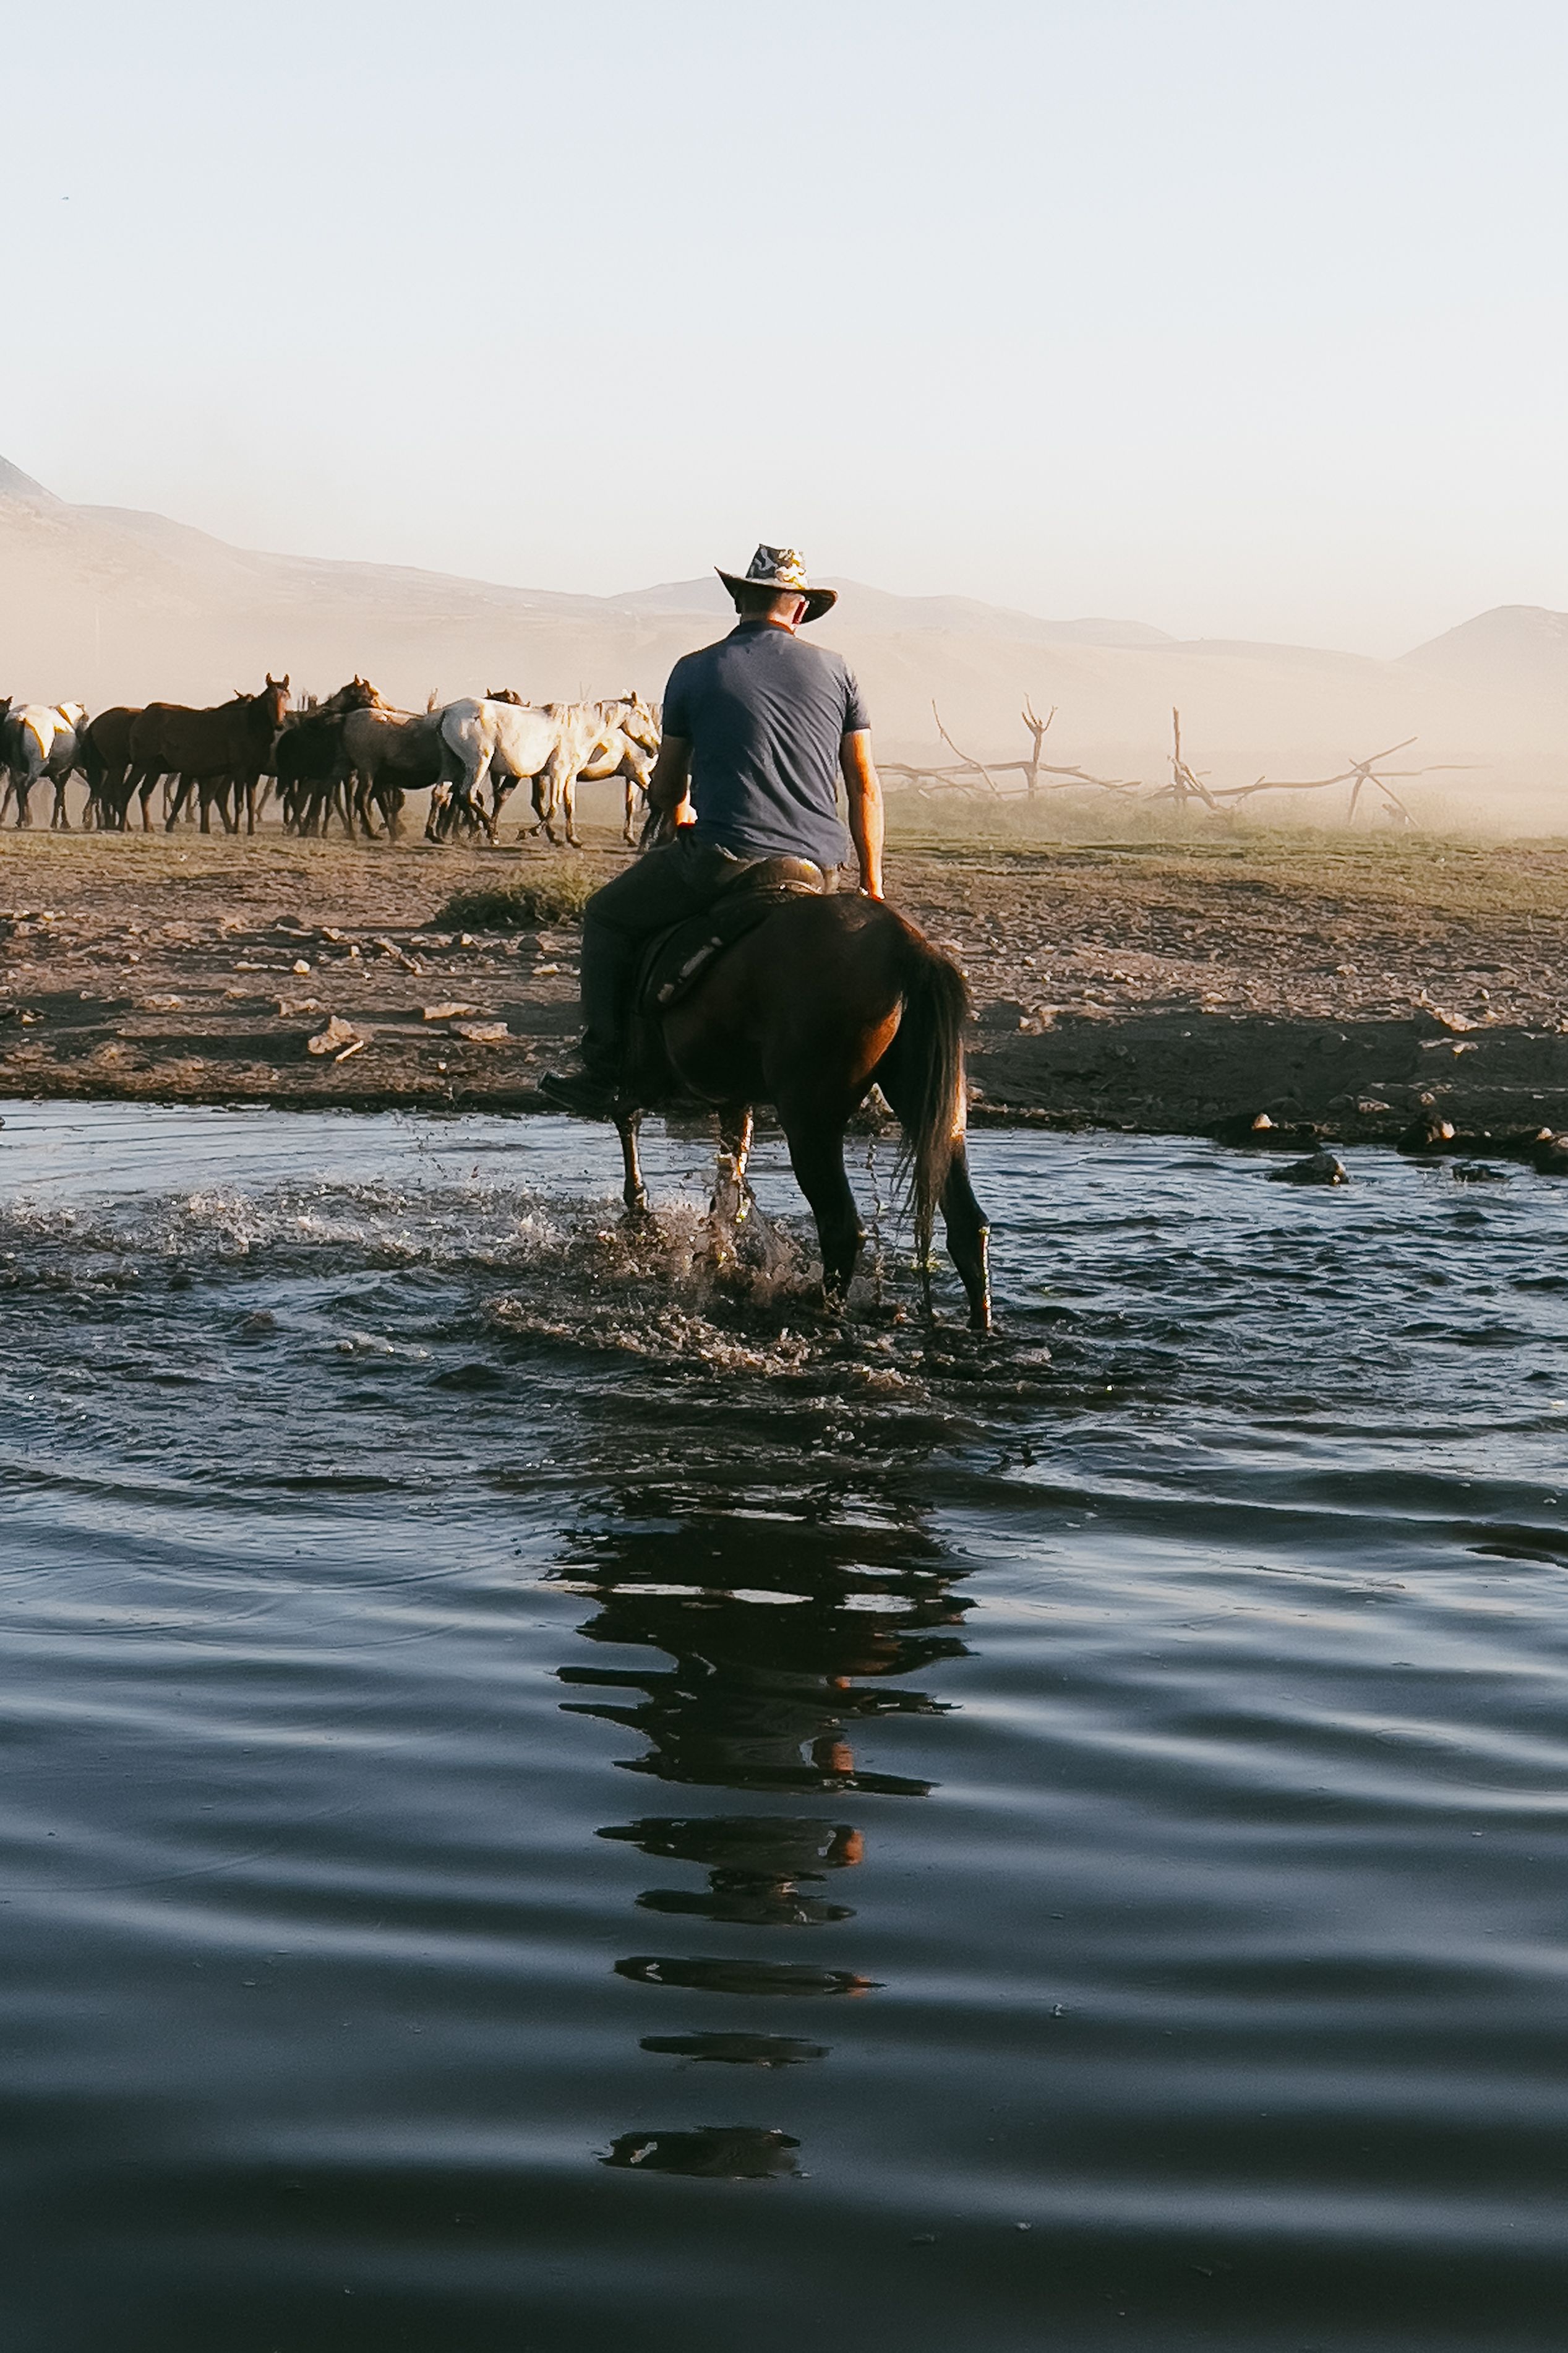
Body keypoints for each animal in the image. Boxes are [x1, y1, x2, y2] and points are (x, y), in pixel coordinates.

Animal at [611, 888, 992, 1331]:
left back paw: (820, 1308)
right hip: (933, 1115)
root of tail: (907, 948)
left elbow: (628, 1117)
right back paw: (979, 1322)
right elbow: (729, 1176)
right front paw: (716, 1251)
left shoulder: (651, 1078)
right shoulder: (730, 1099)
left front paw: (639, 1207)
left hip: (810, 1123)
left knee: (841, 1226)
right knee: (967, 1225)